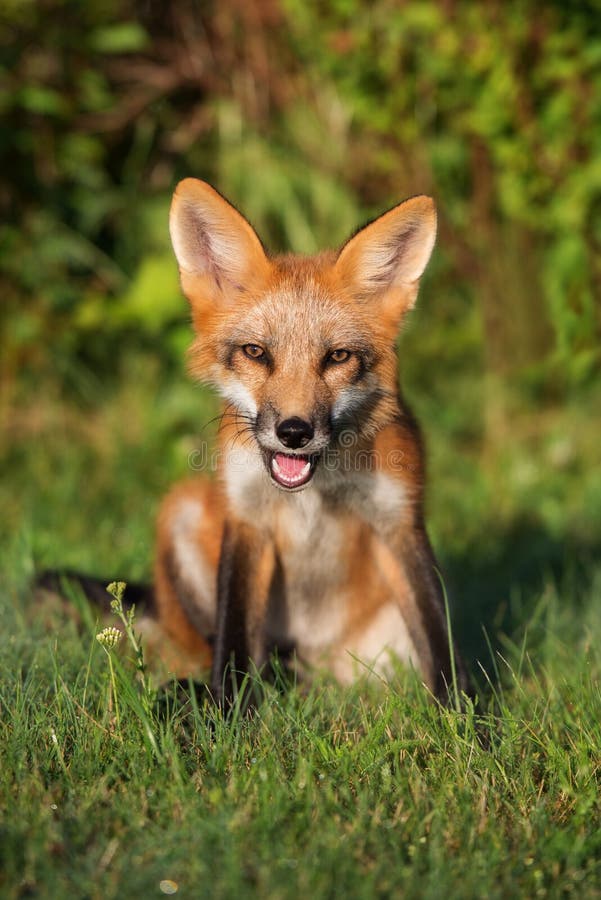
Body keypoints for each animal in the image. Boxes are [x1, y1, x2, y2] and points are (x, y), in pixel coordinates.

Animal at [39, 178, 470, 704]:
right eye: (255, 353)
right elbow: (233, 637)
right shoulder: (246, 518)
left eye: (338, 357)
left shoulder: (398, 520)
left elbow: (438, 639)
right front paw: (226, 709)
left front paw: (463, 716)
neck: (315, 491)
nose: (294, 432)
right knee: (225, 654)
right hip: (182, 510)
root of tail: (319, 671)